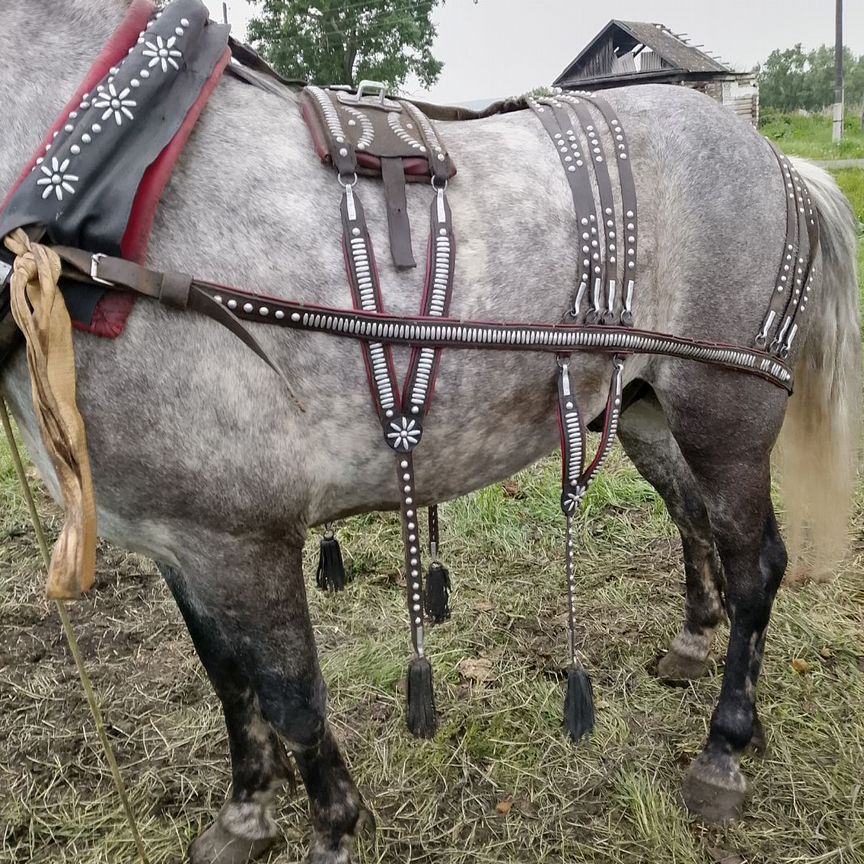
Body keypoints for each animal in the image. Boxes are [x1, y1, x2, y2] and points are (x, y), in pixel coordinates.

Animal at [0, 2, 859, 862]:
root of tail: (777, 159)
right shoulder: (179, 539)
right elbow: (229, 682)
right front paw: (244, 815)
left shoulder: (239, 539)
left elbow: (291, 698)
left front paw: (333, 829)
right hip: (648, 408)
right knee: (692, 516)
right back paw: (693, 645)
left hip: (728, 417)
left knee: (756, 566)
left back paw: (725, 748)